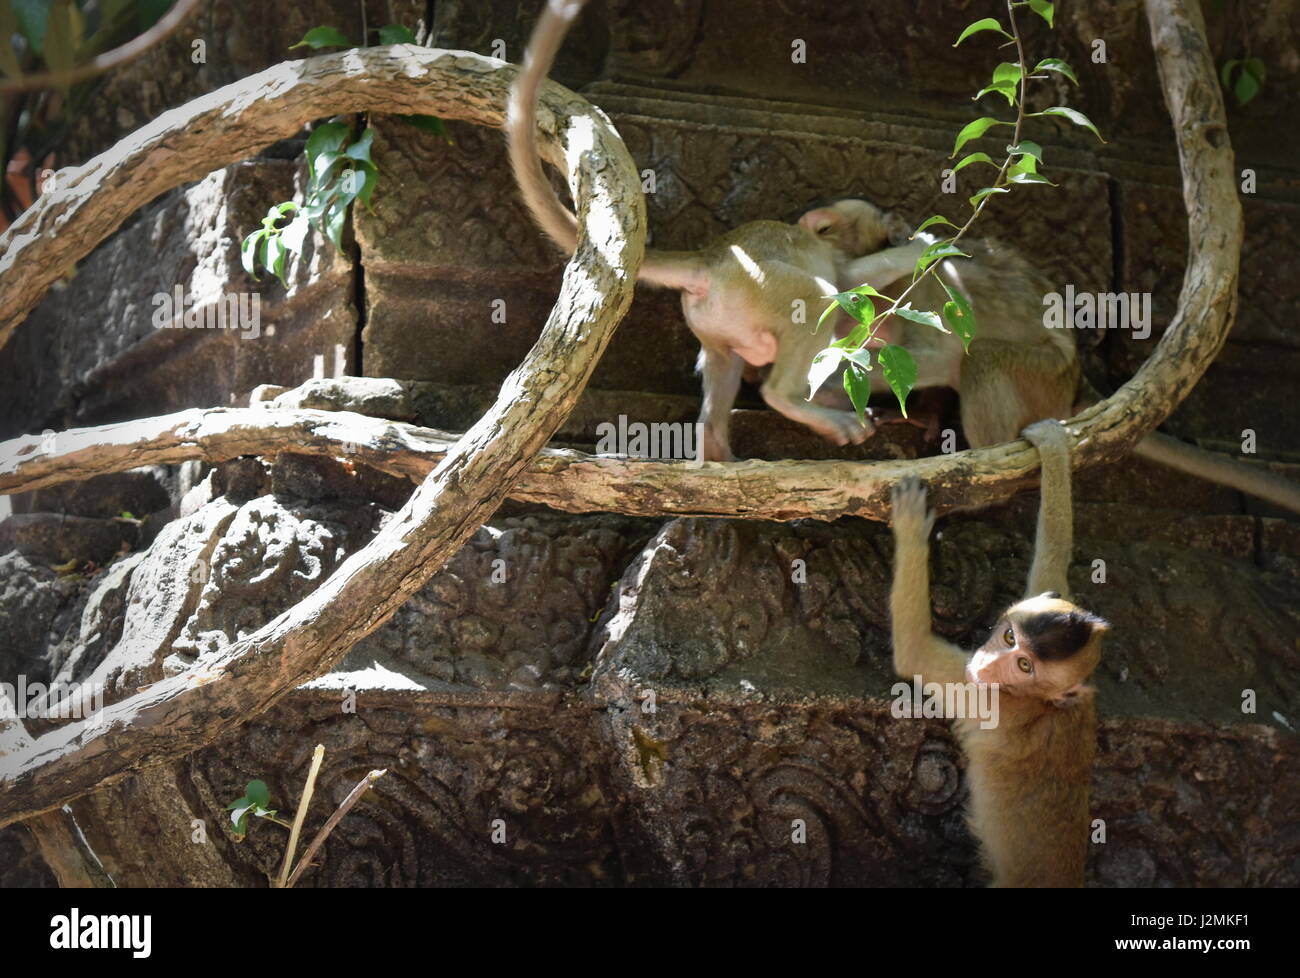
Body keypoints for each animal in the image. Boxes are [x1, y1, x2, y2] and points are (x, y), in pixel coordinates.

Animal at [505, 0, 899, 462]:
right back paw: (789, 401)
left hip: (714, 325)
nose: (891, 223)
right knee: (817, 296)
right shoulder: (833, 259)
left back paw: (716, 450)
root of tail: (708, 261)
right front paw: (924, 244)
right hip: (764, 288)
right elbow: (853, 281)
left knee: (724, 361)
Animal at [804, 199, 1300, 514]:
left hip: (1042, 375)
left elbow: (946, 354)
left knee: (979, 358)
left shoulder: (924, 293)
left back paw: (980, 479)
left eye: (824, 229)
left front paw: (829, 386)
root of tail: (1076, 381)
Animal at [890, 419, 1108, 887]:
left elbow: (914, 652)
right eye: (1010, 638)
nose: (986, 664)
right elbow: (1053, 561)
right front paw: (1054, 444)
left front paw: (912, 529)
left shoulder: (988, 700)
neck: (1041, 702)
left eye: (1024, 665)